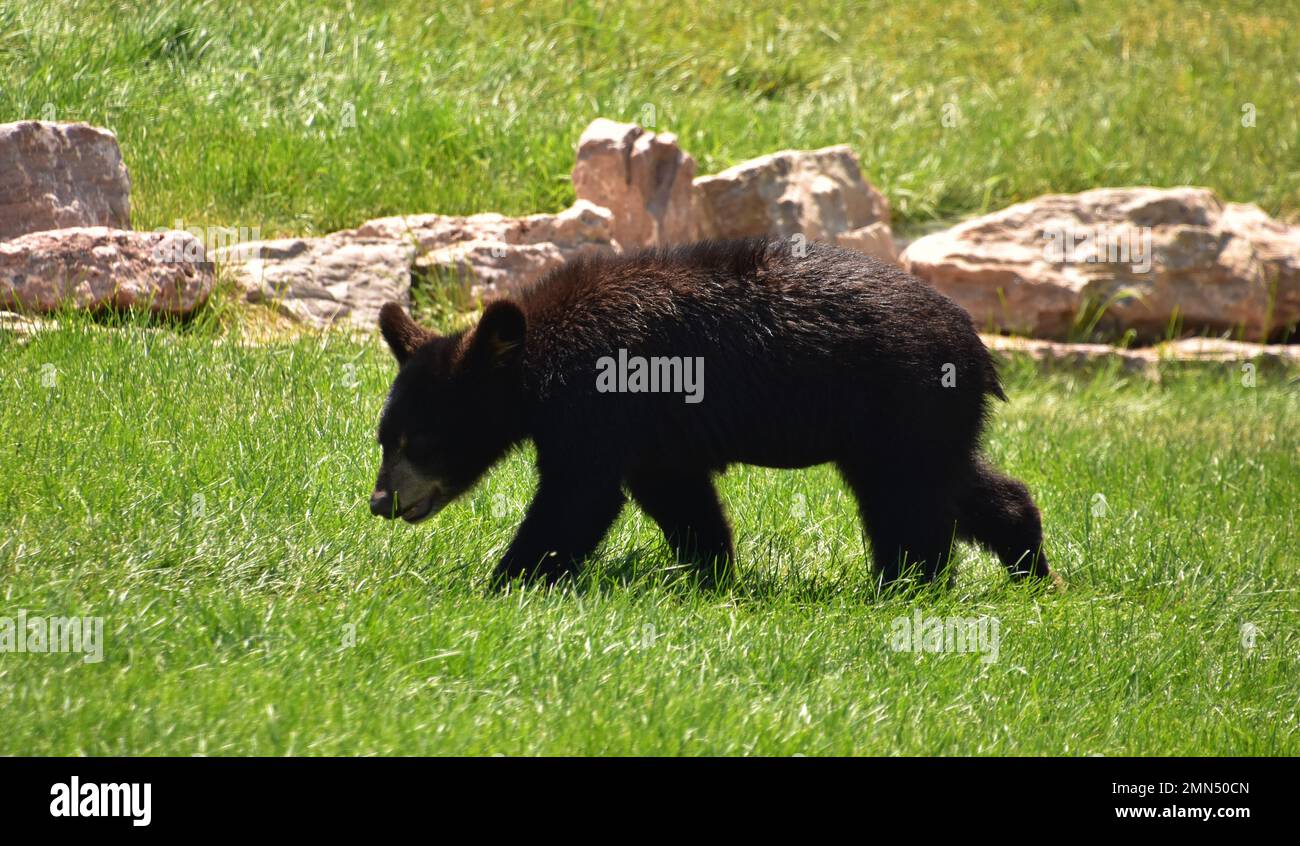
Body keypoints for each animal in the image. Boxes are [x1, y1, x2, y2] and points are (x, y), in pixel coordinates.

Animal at [369, 238, 1053, 589]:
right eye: (384, 438)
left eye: (418, 441)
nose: (380, 501)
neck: (539, 360)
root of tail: (976, 344)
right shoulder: (652, 435)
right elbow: (676, 494)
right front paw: (710, 574)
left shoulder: (602, 401)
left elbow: (579, 496)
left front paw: (505, 582)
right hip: (917, 420)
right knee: (964, 485)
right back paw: (1029, 568)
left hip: (900, 403)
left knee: (907, 502)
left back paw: (905, 585)